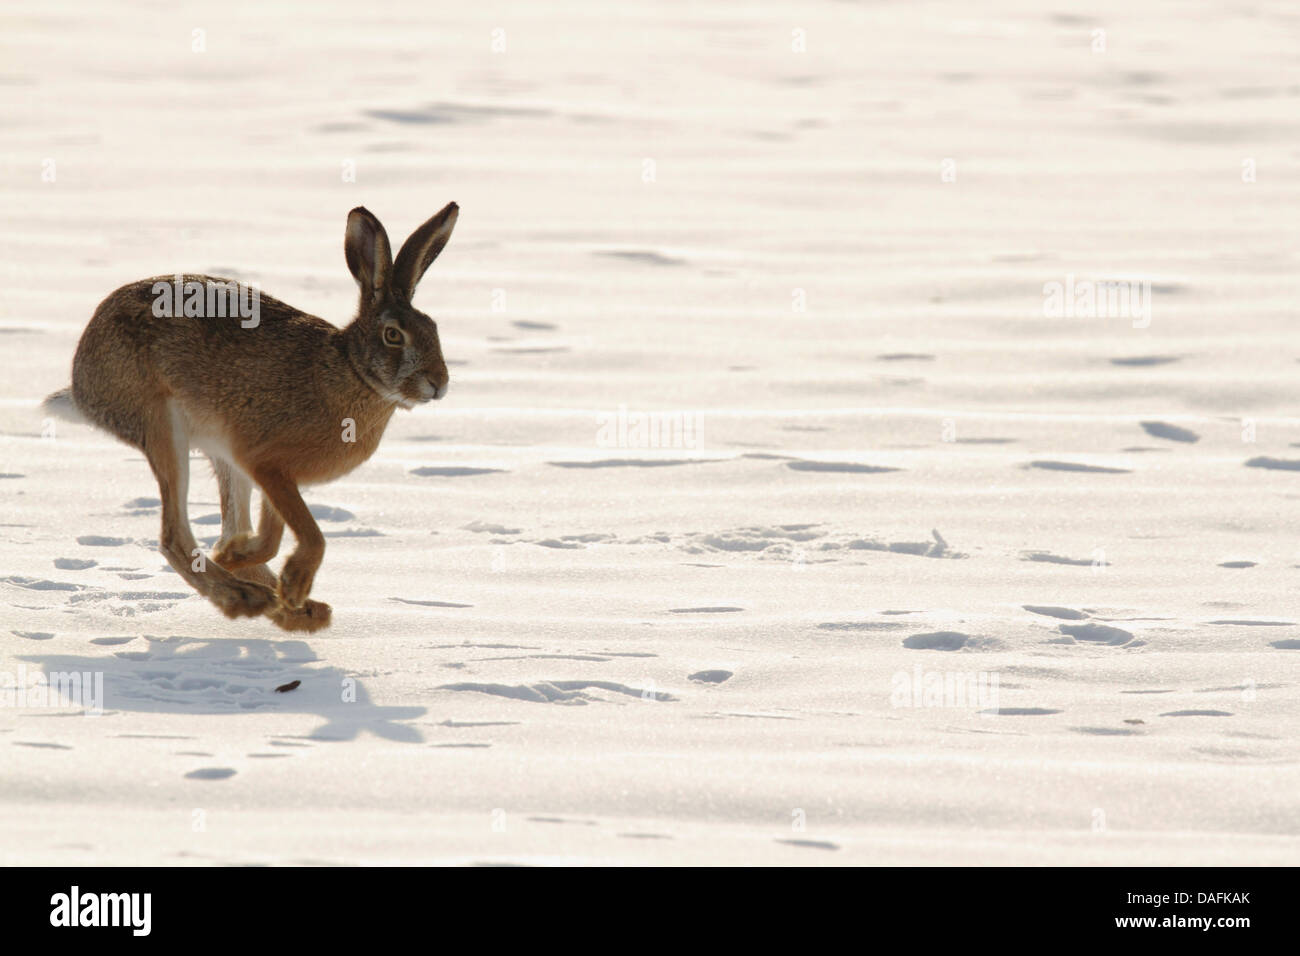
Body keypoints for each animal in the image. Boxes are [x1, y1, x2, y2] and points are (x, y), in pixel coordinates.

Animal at [42, 203, 460, 632]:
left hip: (222, 455)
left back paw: (295, 608)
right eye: (394, 335)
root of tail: (82, 385)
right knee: (174, 537)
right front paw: (290, 581)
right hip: (163, 427)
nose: (438, 382)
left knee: (225, 526)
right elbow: (309, 534)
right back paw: (244, 598)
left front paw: (245, 560)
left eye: (433, 328)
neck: (353, 371)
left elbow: (271, 534)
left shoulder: (269, 473)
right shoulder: (266, 463)